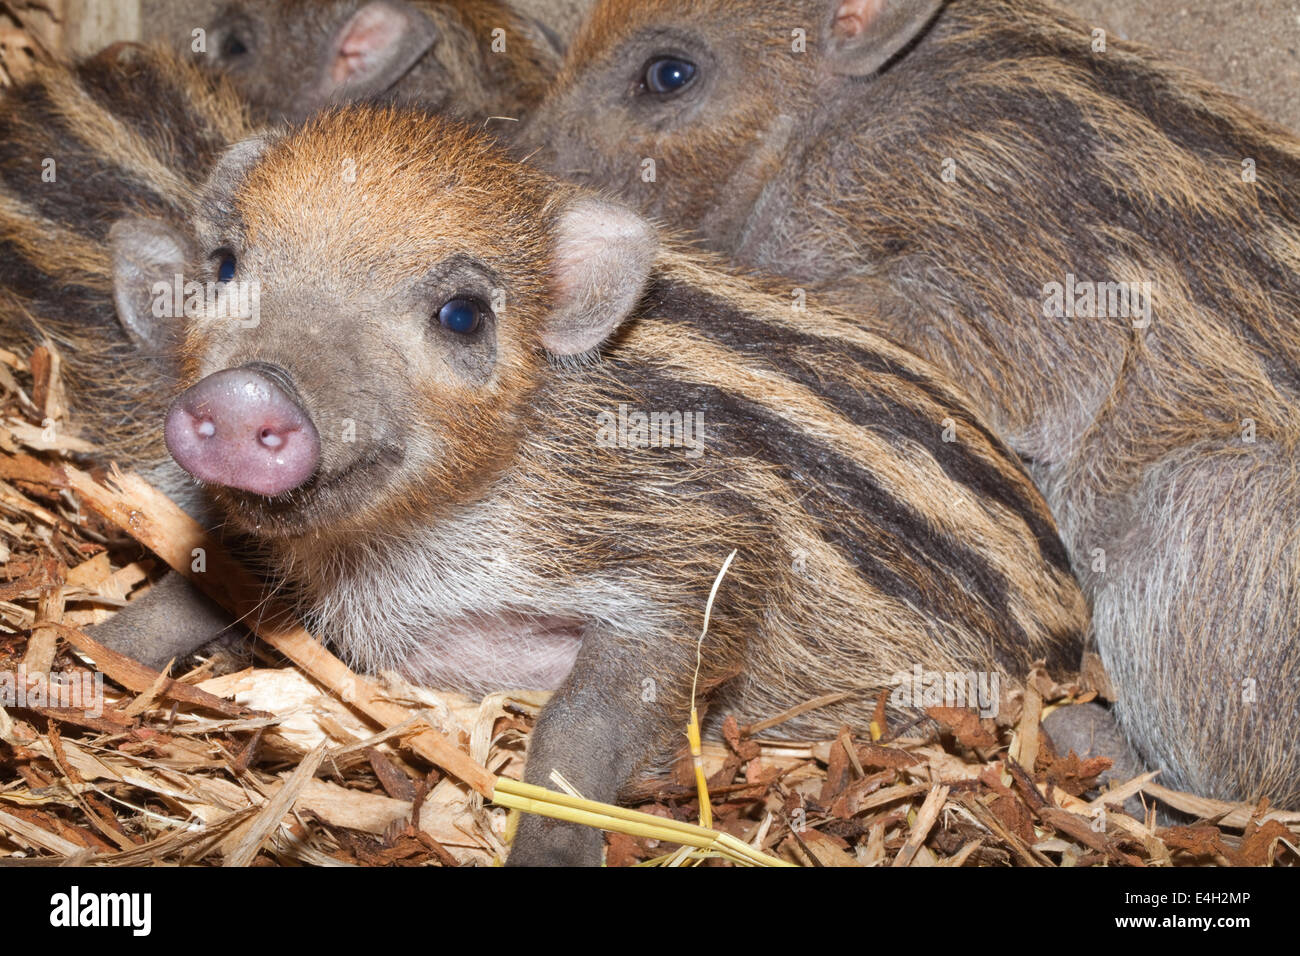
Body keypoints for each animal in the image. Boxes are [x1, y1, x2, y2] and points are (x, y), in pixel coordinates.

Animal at [112, 105, 1088, 864]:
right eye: (227, 265)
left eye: (462, 315)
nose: (247, 391)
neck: (407, 546)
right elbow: (188, 588)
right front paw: (79, 660)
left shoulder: (702, 555)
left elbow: (581, 721)